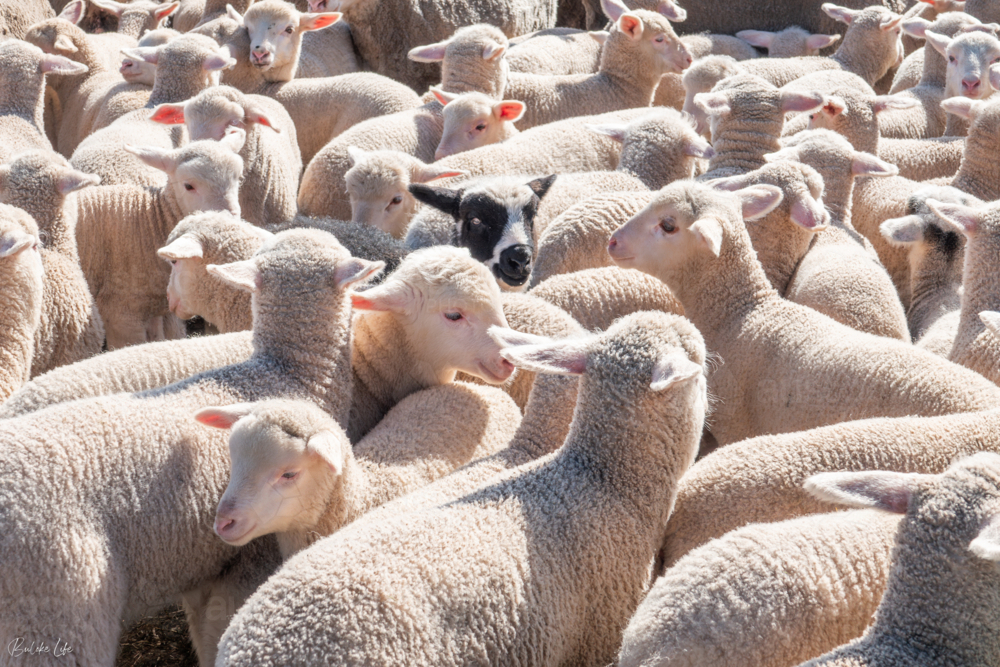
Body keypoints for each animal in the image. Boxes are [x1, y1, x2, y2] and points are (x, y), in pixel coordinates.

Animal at [76, 130, 245, 349]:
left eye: (239, 179)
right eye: (188, 186)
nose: (230, 219)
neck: (148, 222)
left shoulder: (152, 313)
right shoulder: (121, 313)